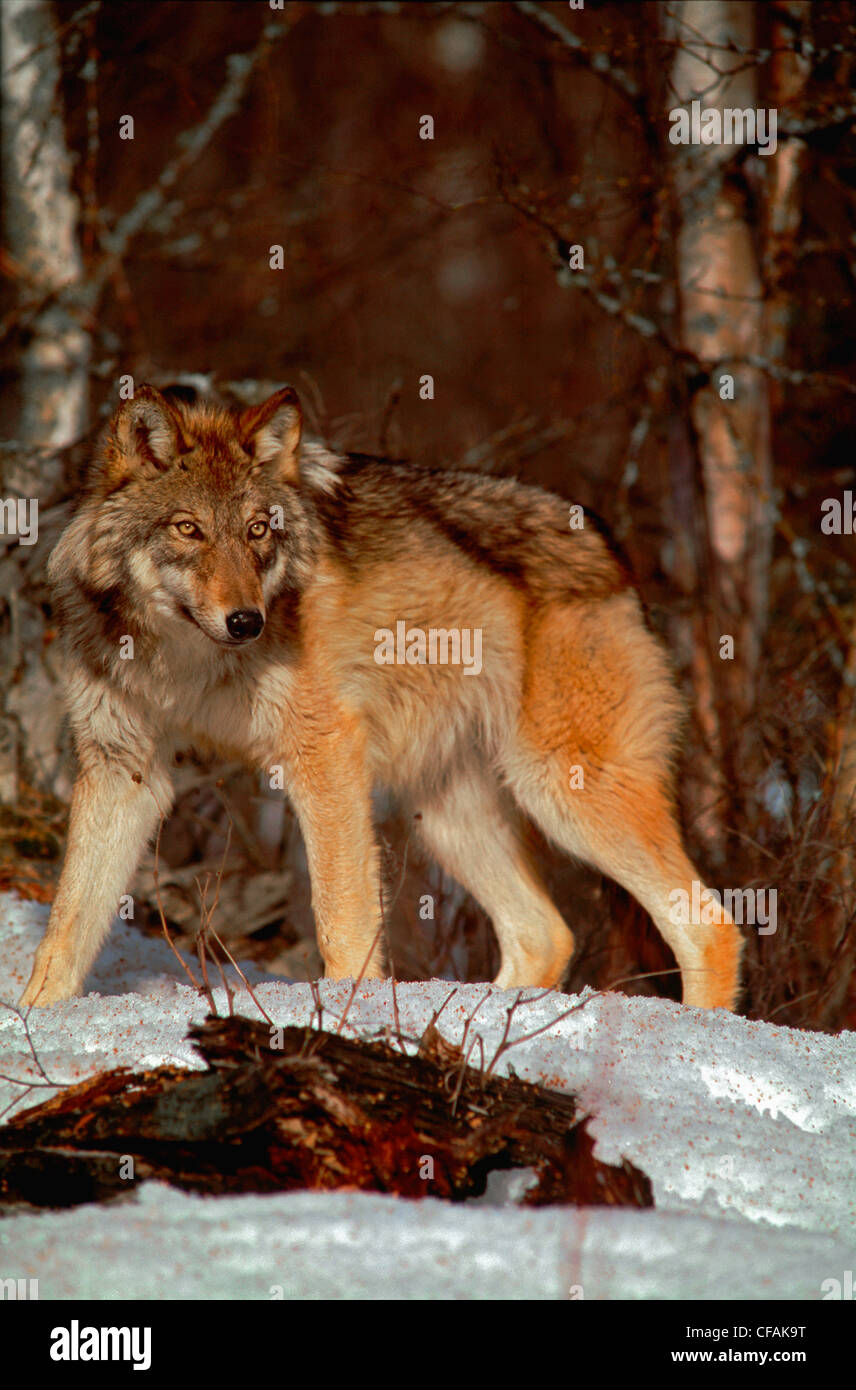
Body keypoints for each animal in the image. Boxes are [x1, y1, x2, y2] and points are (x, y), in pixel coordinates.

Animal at [20, 384, 743, 1009]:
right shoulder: (123, 768)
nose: (247, 621)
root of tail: (610, 551)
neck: (182, 660)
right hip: (448, 816)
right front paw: (35, 1022)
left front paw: (347, 1014)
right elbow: (66, 924)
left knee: (711, 925)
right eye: (188, 528)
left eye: (258, 531)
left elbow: (341, 916)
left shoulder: (323, 752)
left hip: (562, 788)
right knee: (546, 935)